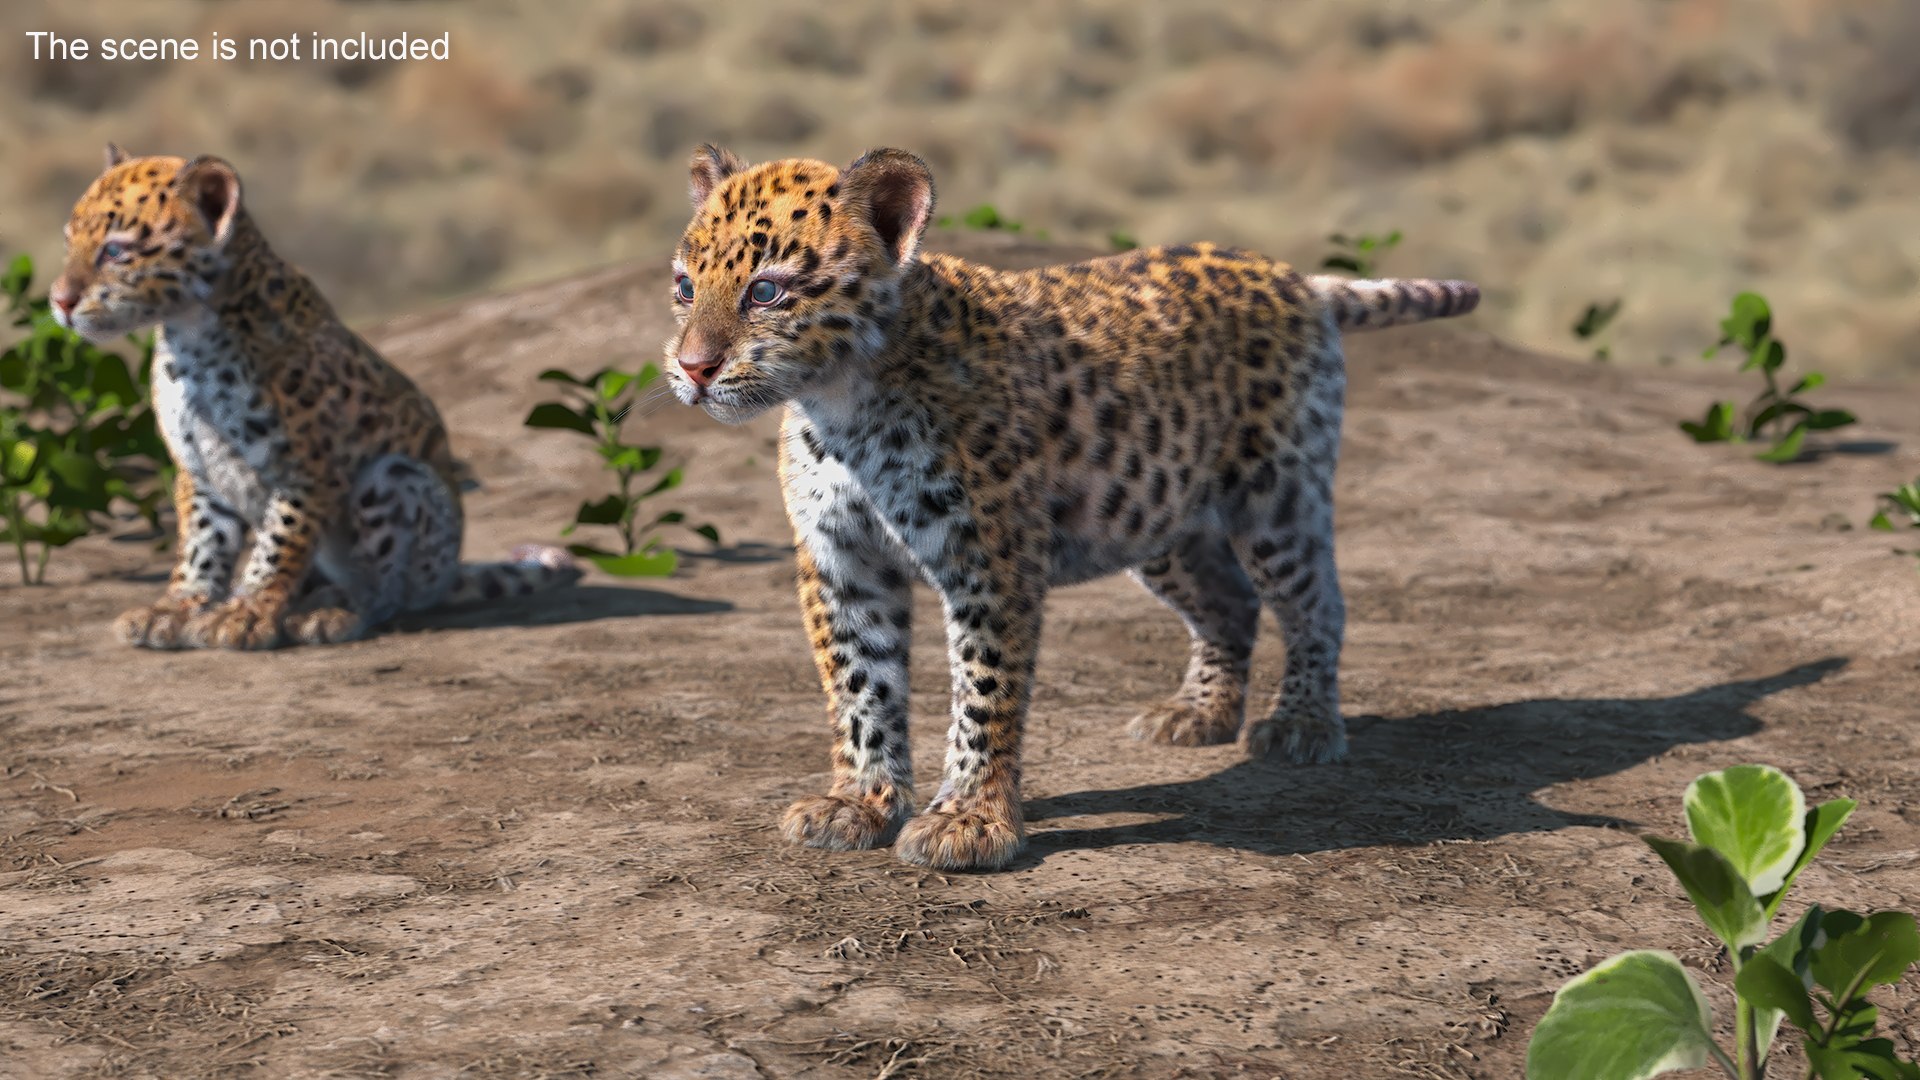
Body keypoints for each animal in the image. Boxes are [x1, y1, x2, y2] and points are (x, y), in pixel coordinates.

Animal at [51, 145, 580, 651]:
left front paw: (247, 614)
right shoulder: (197, 469)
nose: (59, 301)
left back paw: (332, 608)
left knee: (386, 591)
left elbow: (278, 543)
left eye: (116, 251)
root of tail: (451, 573)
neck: (188, 337)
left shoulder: (305, 467)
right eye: (68, 242)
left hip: (395, 483)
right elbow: (202, 544)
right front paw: (178, 606)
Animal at [665, 144, 1479, 871]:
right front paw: (859, 802)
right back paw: (1199, 715)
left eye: (766, 291)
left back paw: (1302, 724)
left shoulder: (988, 557)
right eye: (683, 287)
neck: (840, 406)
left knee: (1316, 603)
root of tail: (1291, 274)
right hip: (1158, 516)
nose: (692, 368)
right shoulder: (842, 561)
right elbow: (861, 685)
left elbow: (983, 692)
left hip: (1275, 500)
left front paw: (969, 823)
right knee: (1229, 602)